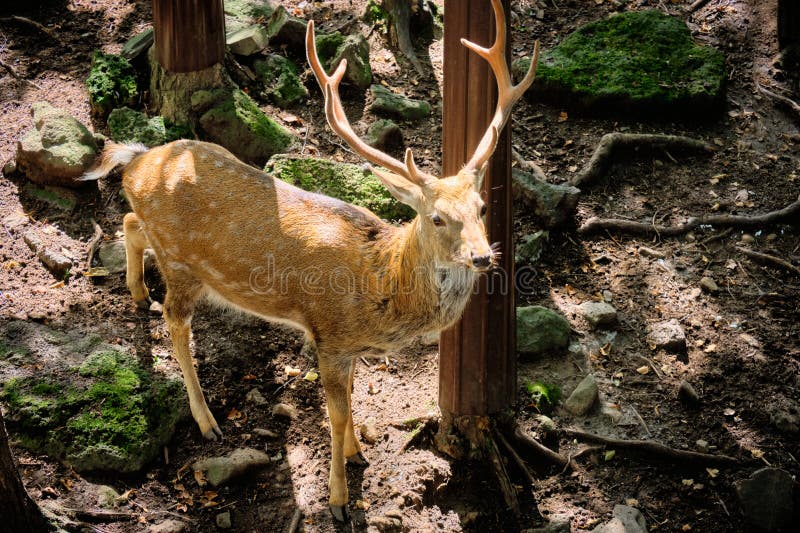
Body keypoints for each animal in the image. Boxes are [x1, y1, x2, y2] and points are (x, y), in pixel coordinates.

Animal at [82, 0, 538, 521]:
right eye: (437, 217)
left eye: (482, 207)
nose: (483, 257)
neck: (380, 286)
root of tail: (137, 163)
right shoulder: (329, 336)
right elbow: (334, 416)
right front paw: (339, 499)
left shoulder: (350, 348)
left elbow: (351, 403)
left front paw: (358, 451)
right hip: (182, 264)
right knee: (174, 320)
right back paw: (206, 420)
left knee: (130, 223)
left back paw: (136, 292)